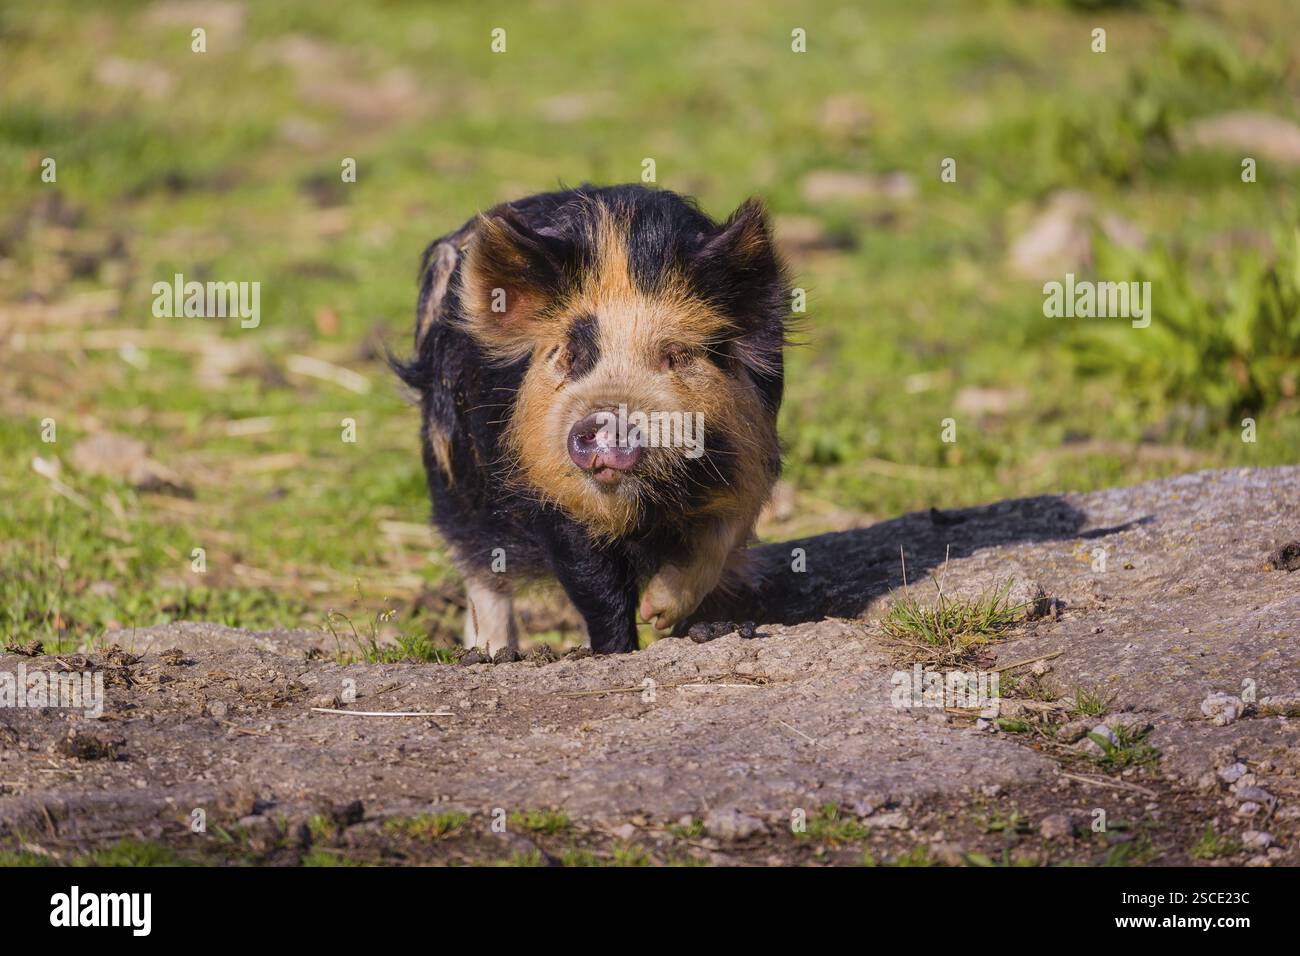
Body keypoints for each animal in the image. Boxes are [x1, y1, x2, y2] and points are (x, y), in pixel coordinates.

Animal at [392, 184, 789, 654]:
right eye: (570, 354)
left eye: (675, 355)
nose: (606, 420)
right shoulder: (547, 488)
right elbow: (594, 585)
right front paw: (619, 648)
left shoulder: (751, 457)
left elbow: (718, 537)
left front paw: (659, 615)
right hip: (453, 479)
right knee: (482, 573)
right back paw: (491, 653)